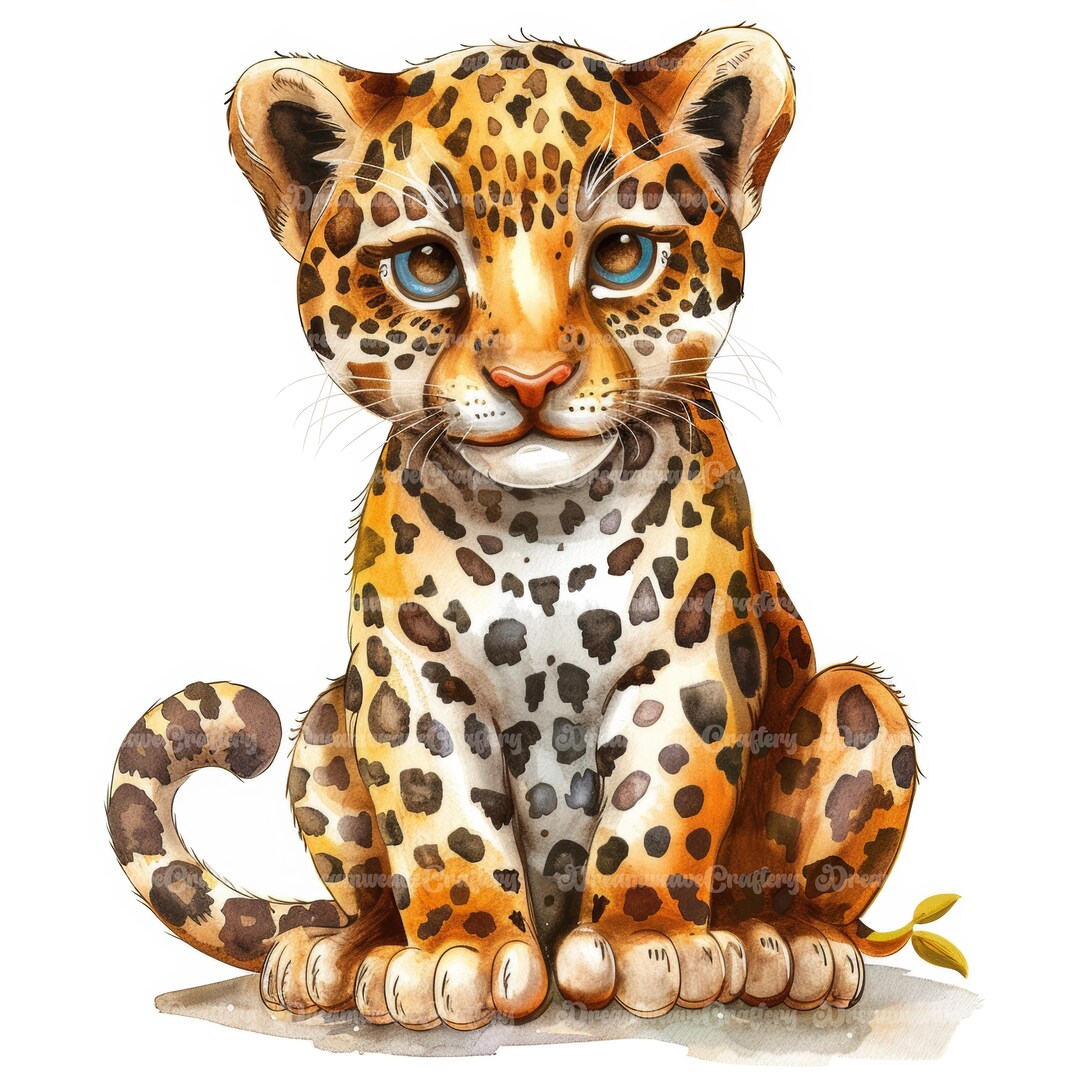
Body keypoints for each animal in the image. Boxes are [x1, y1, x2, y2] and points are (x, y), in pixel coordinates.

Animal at [108, 26, 940, 1032]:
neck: (546, 527)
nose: (531, 381)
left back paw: (789, 947)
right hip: (319, 724)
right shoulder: (405, 666)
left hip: (867, 707)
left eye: (621, 253)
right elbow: (440, 819)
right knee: (353, 880)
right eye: (427, 267)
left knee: (814, 859)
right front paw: (456, 951)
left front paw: (645, 941)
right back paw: (337, 955)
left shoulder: (689, 648)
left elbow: (661, 796)